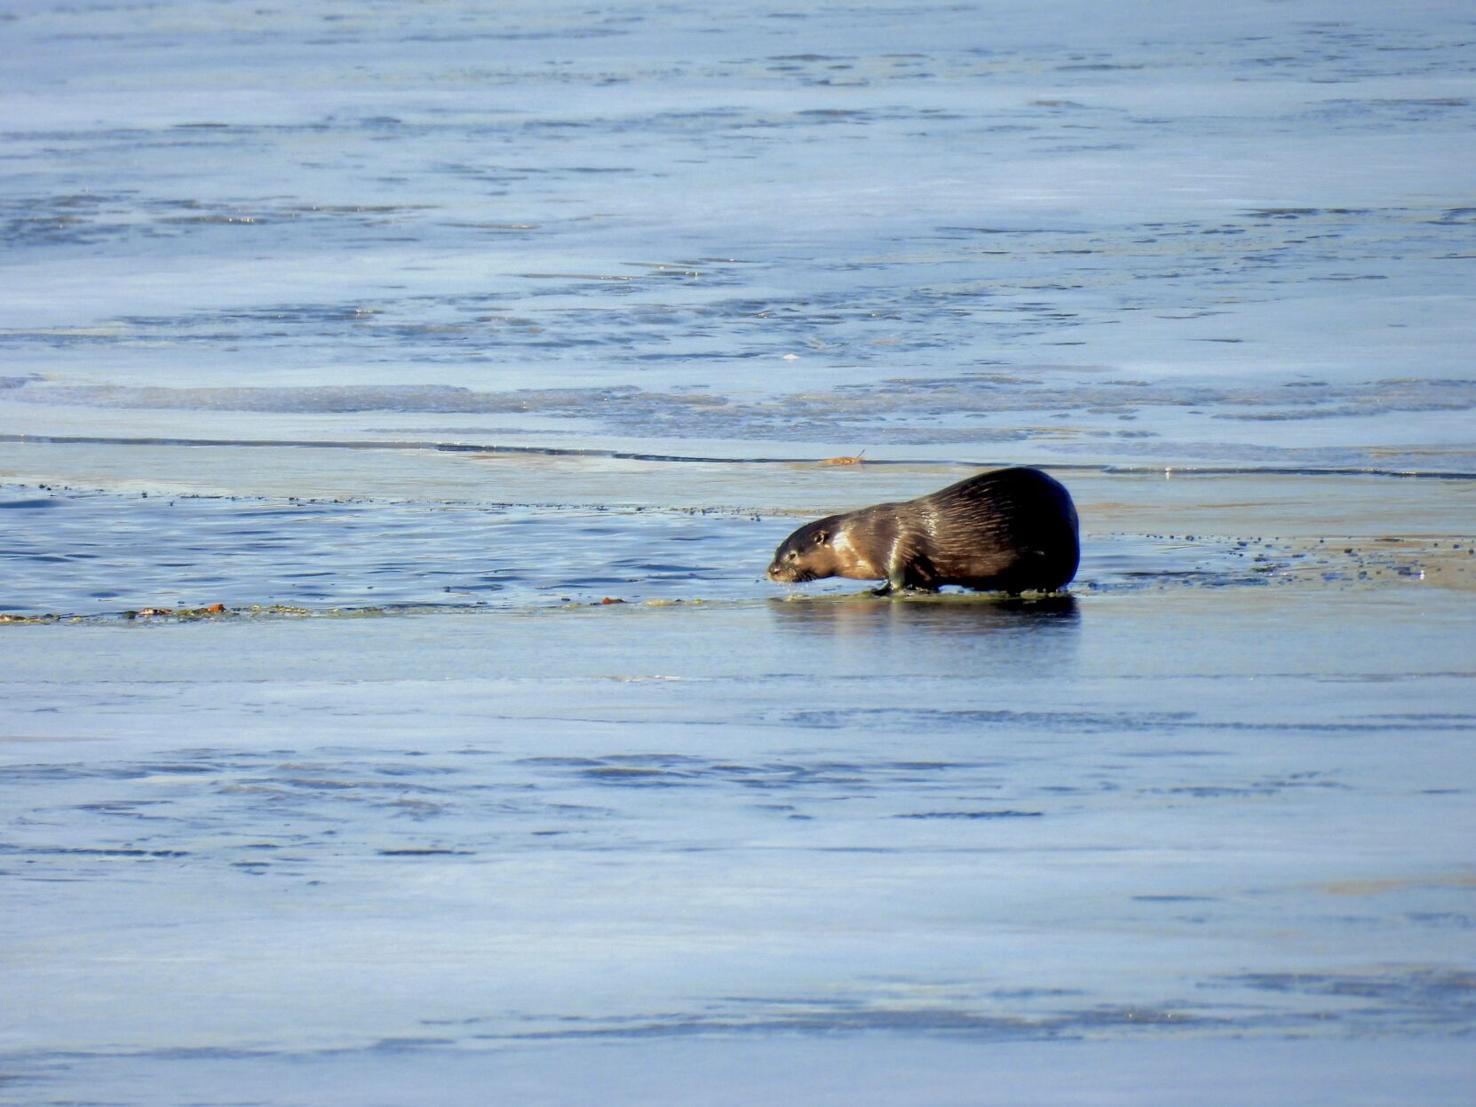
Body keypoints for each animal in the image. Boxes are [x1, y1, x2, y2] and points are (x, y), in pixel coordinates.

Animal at [767, 467, 1079, 595]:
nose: (772, 571)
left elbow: (897, 580)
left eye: (792, 555)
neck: (864, 538)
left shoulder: (898, 546)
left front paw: (880, 591)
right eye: (777, 551)